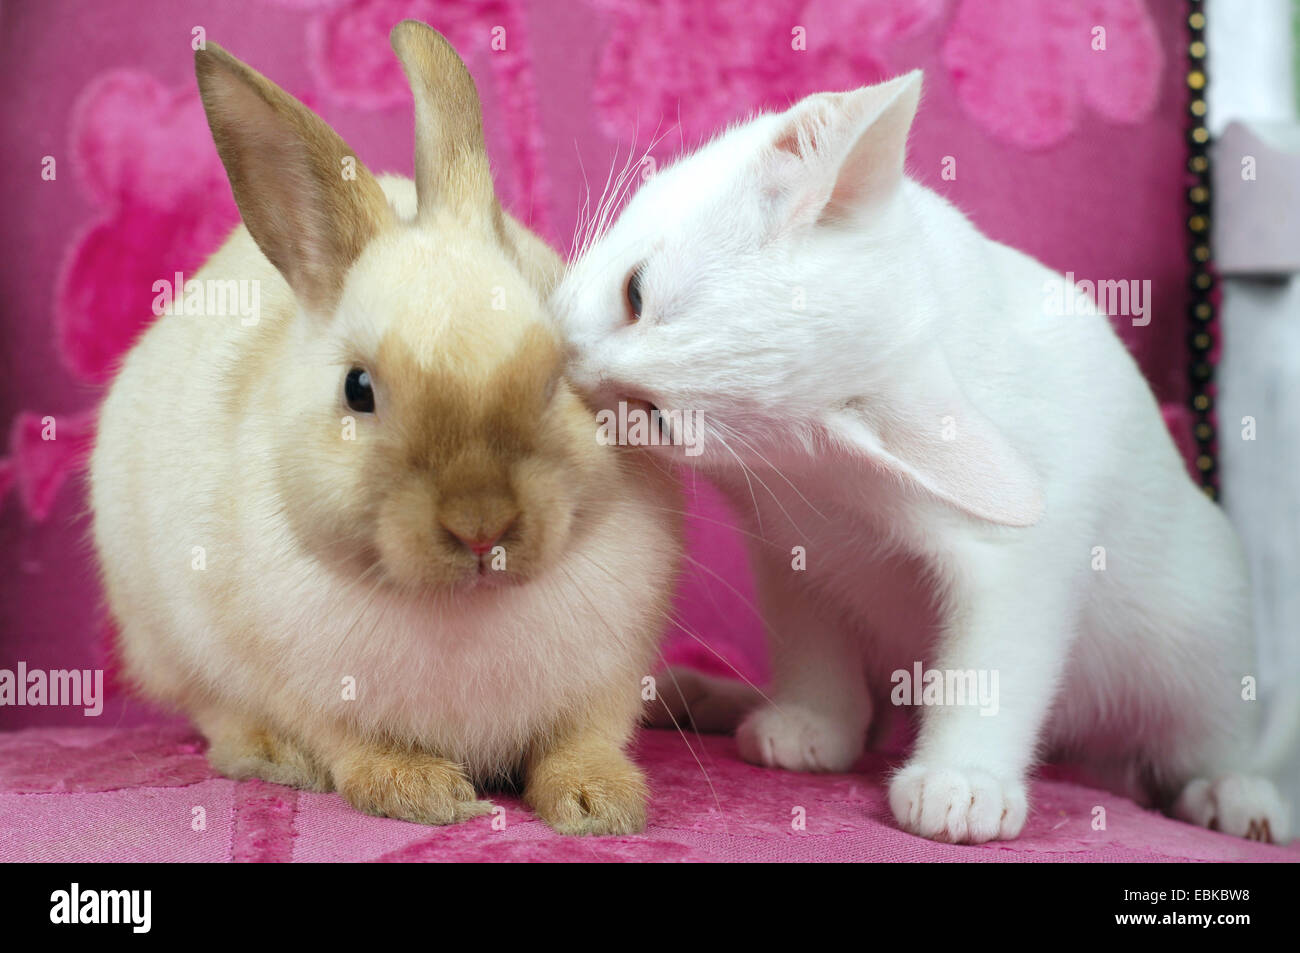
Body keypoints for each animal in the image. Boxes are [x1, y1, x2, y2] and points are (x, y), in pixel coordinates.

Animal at [89, 20, 682, 836]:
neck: (464, 606)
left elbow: (582, 739)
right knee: (216, 713)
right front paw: (425, 792)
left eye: (559, 369)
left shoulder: (612, 673)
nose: (481, 525)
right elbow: (351, 746)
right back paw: (270, 755)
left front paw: (600, 804)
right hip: (164, 637)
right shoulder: (303, 685)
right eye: (358, 389)